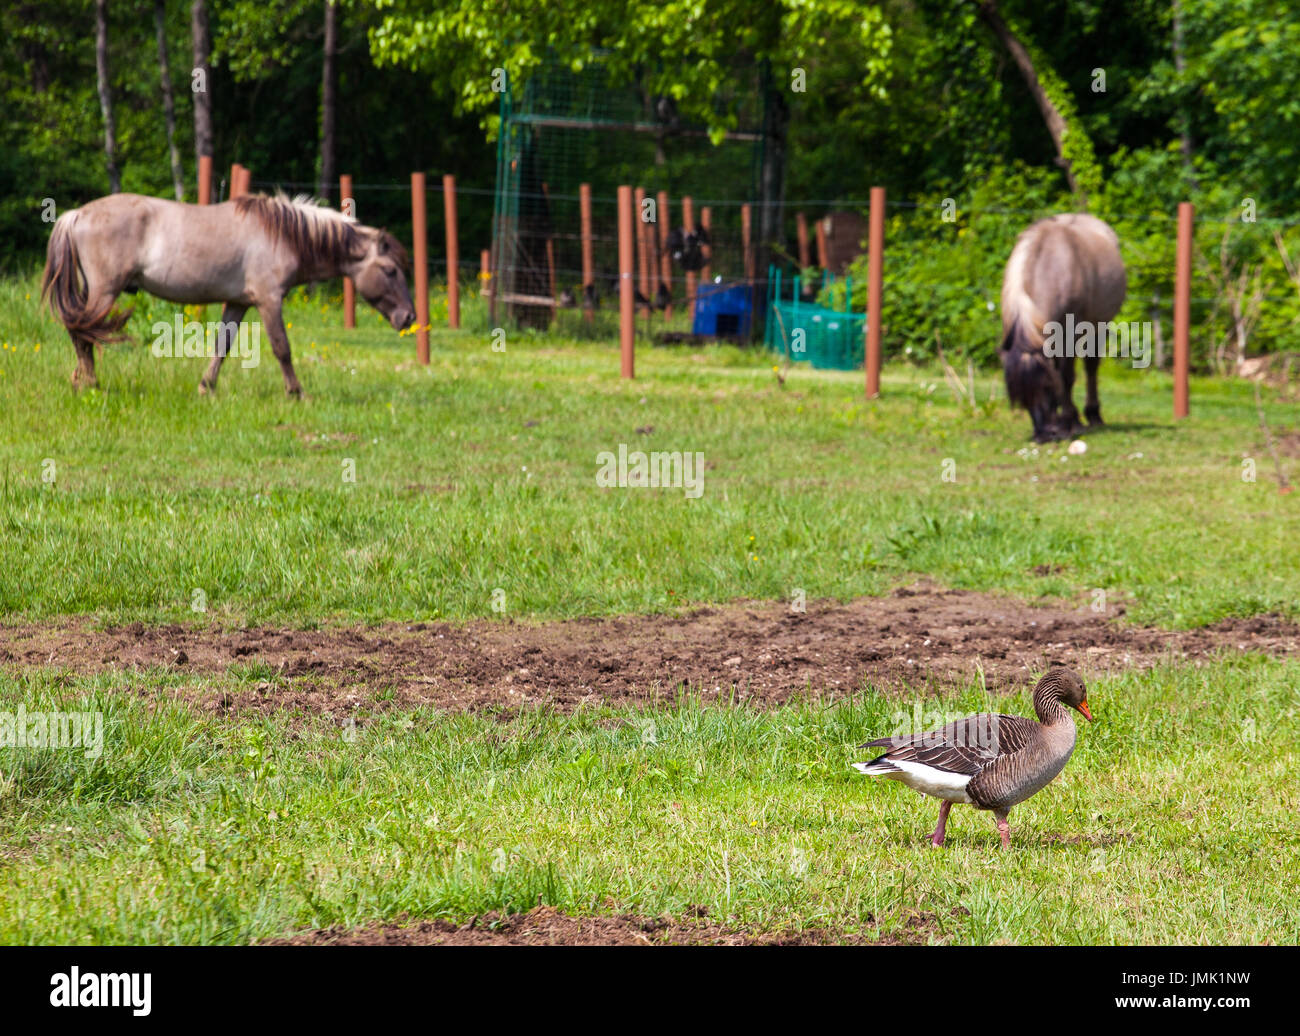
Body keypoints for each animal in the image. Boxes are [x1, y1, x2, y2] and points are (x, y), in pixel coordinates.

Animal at [41, 192, 416, 396]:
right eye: (391, 271)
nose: (409, 317)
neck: (283, 234)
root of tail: (77, 214)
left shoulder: (238, 303)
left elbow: (222, 346)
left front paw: (206, 387)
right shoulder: (268, 300)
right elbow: (282, 348)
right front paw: (296, 392)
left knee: (81, 332)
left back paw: (82, 380)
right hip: (104, 292)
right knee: (82, 333)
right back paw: (90, 383)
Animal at [999, 213, 1127, 442]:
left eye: (1046, 386)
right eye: (1022, 399)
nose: (1043, 435)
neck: (1049, 267)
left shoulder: (1070, 331)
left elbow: (1066, 376)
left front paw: (1069, 422)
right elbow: (1060, 374)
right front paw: (1067, 419)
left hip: (1098, 326)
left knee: (1091, 367)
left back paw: (1092, 415)